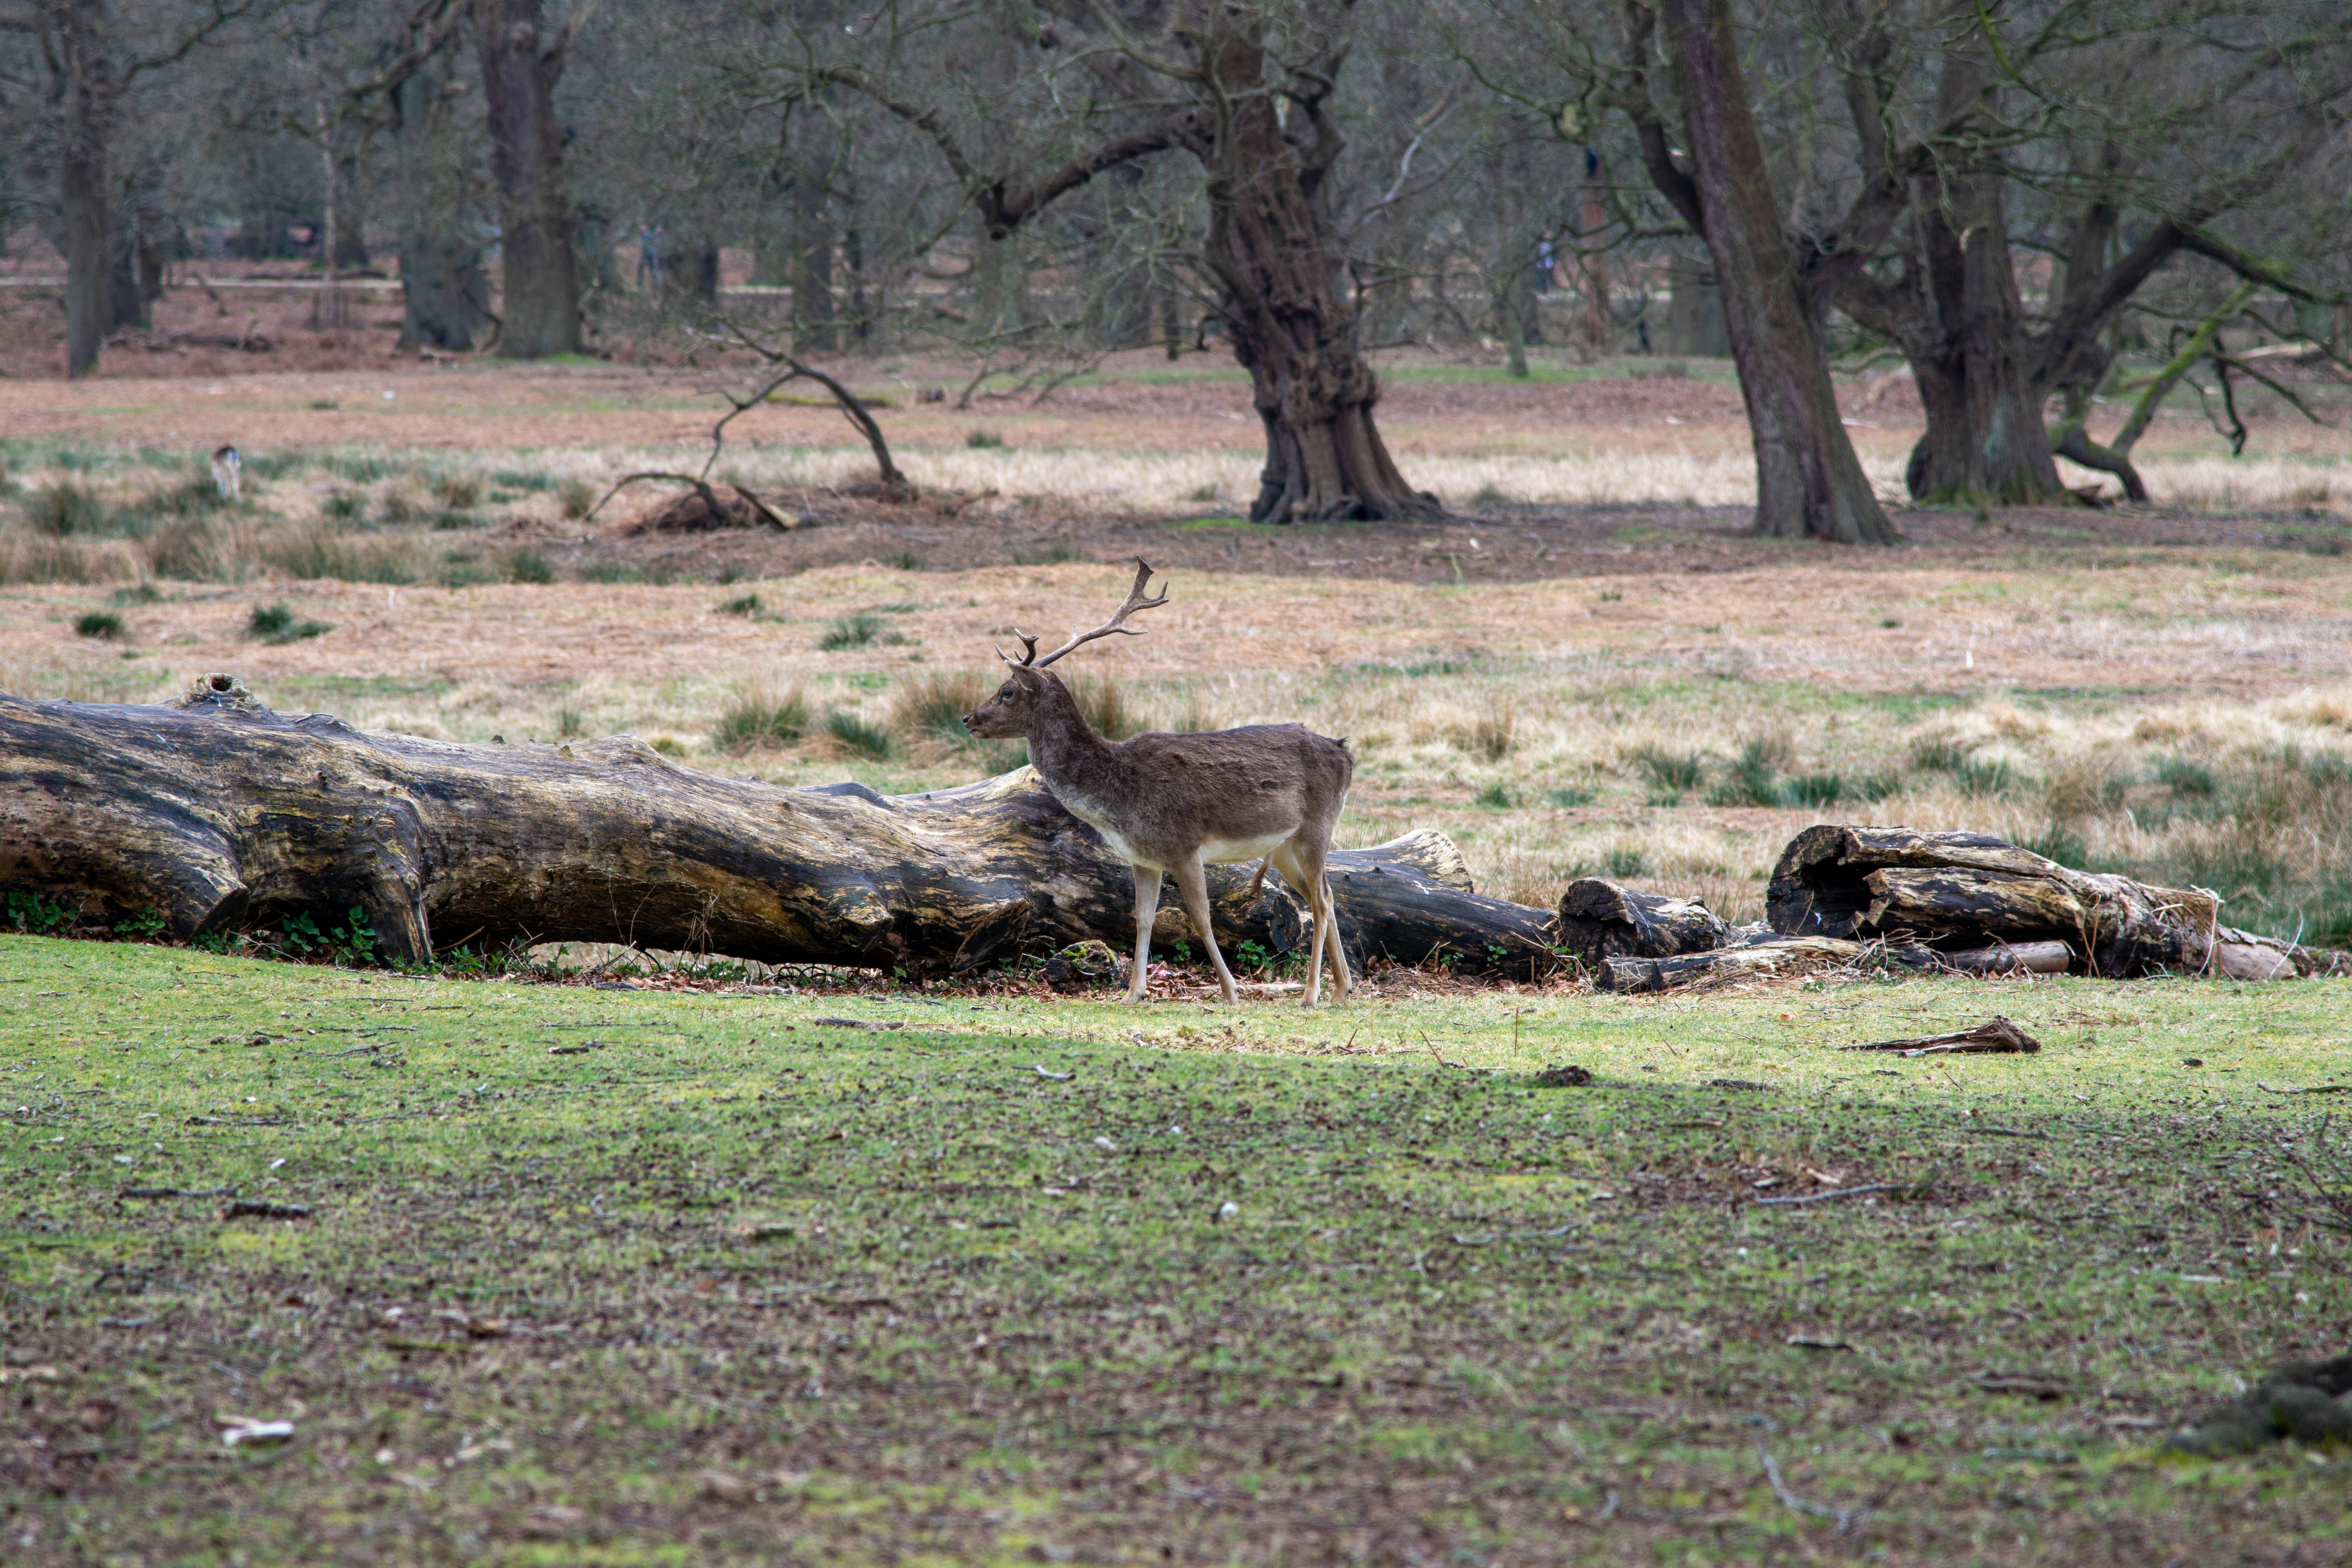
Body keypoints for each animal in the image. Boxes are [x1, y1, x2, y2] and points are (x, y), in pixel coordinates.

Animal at [963, 558, 1354, 1007]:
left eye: (1007, 691)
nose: (968, 718)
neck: (1118, 799)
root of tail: (1346, 754)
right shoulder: (1142, 858)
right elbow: (1143, 919)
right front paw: (1133, 993)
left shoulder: (1184, 846)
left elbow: (1201, 920)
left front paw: (1231, 991)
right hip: (1286, 844)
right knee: (1325, 894)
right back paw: (1343, 988)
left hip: (1317, 825)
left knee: (1320, 902)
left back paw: (1311, 993)